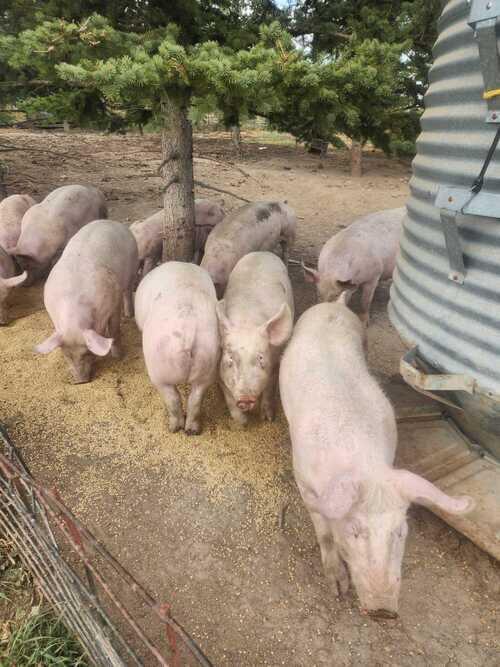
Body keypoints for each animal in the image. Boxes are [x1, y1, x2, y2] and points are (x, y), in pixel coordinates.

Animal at [35, 220, 138, 383]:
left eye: (87, 353)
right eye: (66, 355)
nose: (80, 381)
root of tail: (111, 222)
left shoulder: (114, 301)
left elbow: (115, 329)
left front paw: (118, 357)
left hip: (133, 264)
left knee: (128, 290)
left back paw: (129, 315)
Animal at [135, 262, 220, 435]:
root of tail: (188, 327)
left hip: (159, 371)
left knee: (173, 398)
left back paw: (174, 427)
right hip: (208, 363)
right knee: (195, 399)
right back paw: (192, 430)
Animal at [216, 251, 294, 426]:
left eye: (260, 358)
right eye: (230, 358)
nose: (245, 398)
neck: (247, 322)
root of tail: (264, 253)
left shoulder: (274, 364)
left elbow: (269, 390)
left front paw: (267, 419)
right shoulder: (220, 373)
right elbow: (230, 401)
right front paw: (243, 422)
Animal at [279, 299, 474, 618]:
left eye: (400, 531)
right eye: (355, 530)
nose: (384, 611)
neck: (365, 464)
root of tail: (333, 304)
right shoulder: (304, 479)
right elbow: (325, 534)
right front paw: (337, 588)